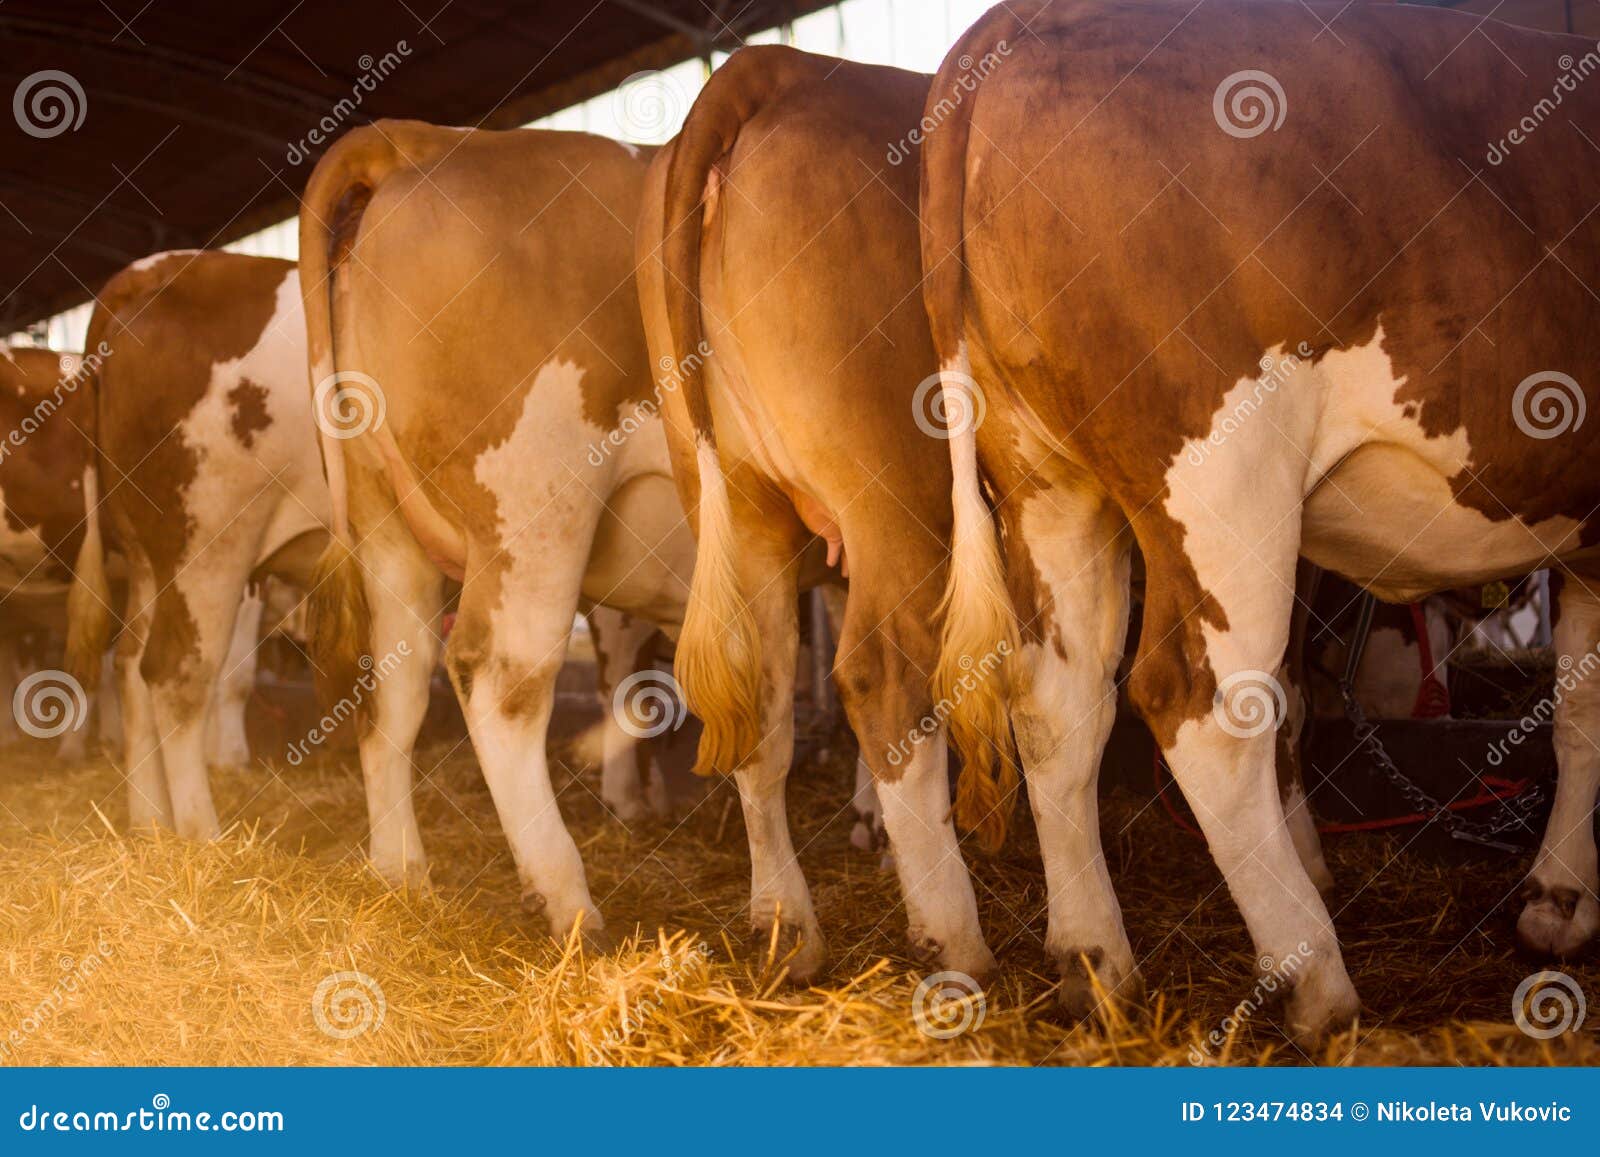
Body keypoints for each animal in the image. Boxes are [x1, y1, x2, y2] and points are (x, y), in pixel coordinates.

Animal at [65, 250, 331, 836]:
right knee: (175, 673)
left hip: (150, 559)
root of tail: (153, 272)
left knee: (129, 667)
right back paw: (201, 835)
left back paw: (151, 824)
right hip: (211, 544)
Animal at [300, 121, 696, 945]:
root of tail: (420, 140)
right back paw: (570, 901)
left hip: (386, 527)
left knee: (395, 689)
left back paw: (402, 876)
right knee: (500, 679)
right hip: (539, 507)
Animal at [637, 47, 998, 981]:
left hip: (738, 504)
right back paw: (955, 939)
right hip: (895, 490)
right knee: (885, 673)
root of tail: (778, 66)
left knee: (761, 700)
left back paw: (785, 929)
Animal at [922, 0, 1600, 1042]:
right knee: (1201, 706)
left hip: (1043, 478)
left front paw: (1559, 901)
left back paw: (1096, 966)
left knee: (1057, 705)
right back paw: (1319, 982)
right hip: (1224, 474)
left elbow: (1575, 707)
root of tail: (1006, 29)